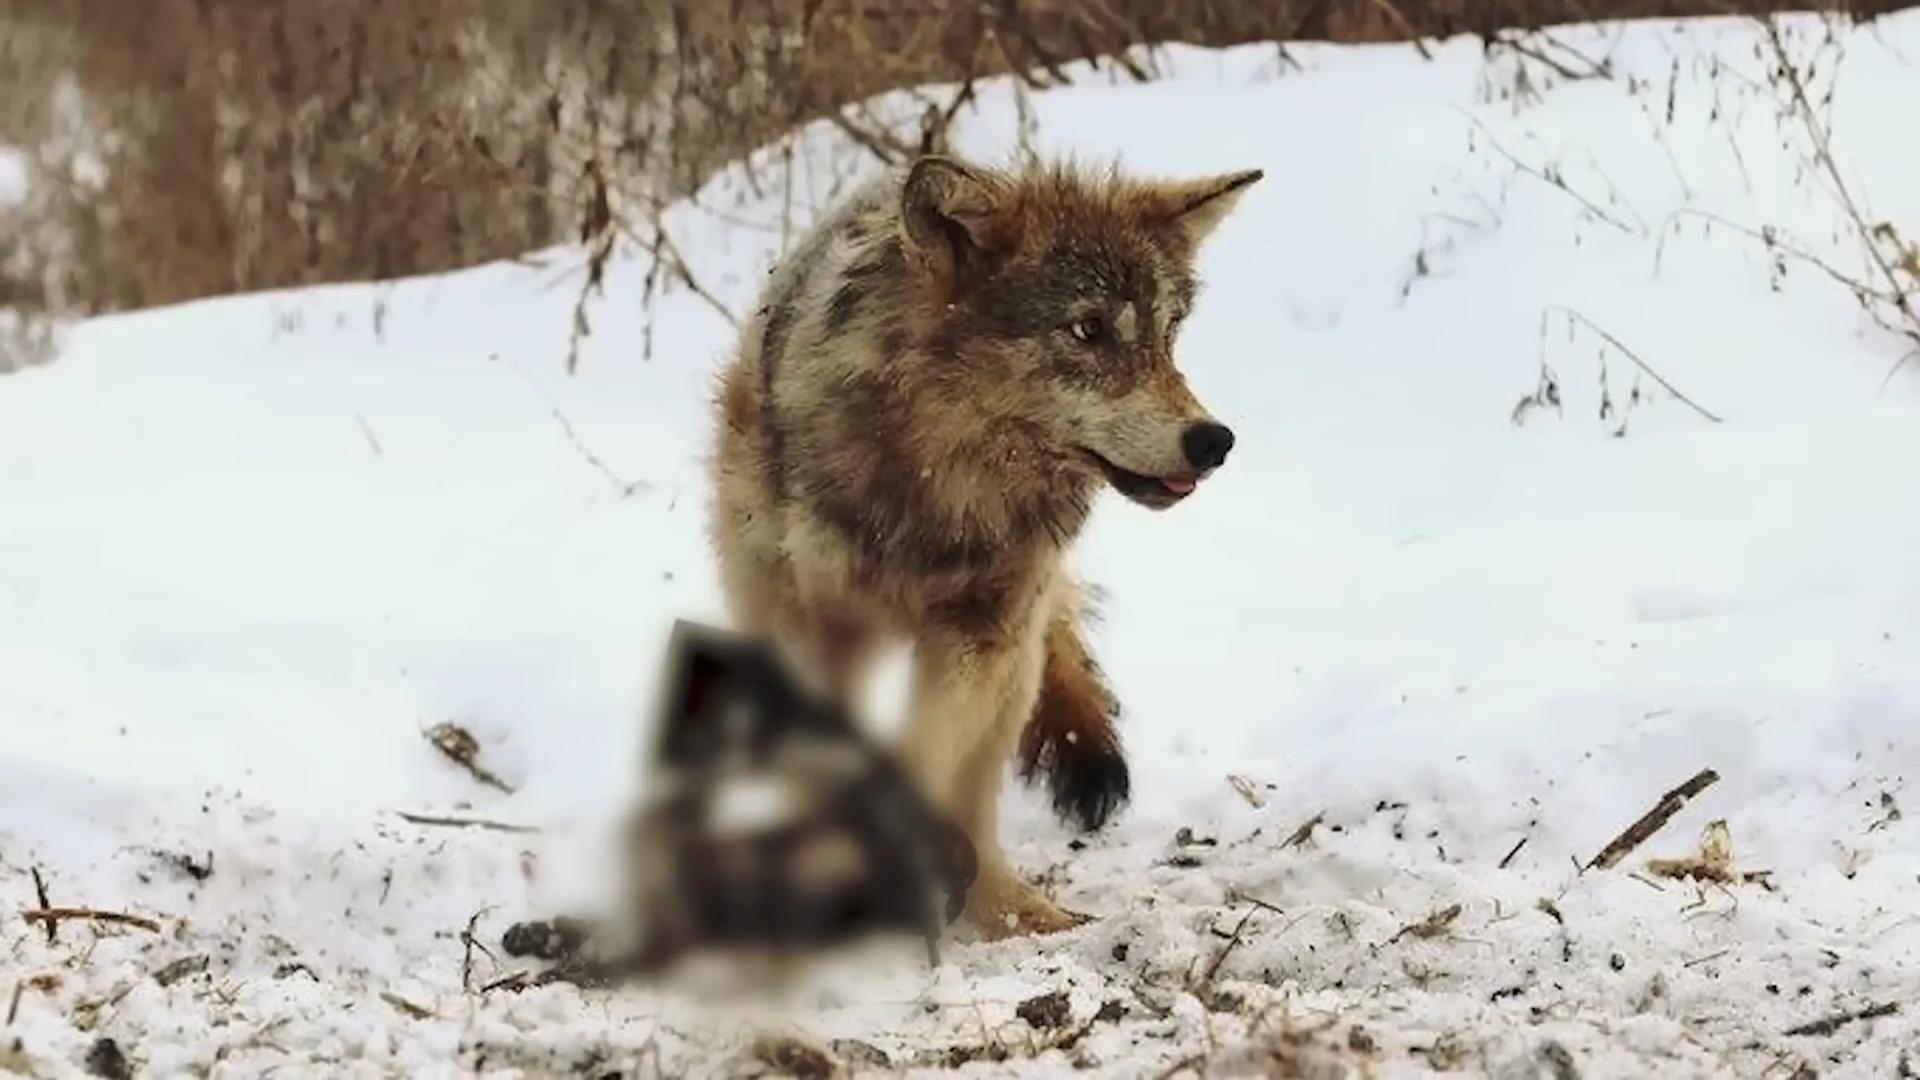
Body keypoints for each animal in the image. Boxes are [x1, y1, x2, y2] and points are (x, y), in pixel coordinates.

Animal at [706, 151, 1261, 937]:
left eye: (1168, 334)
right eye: (1087, 330)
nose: (1214, 441)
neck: (940, 491)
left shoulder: (982, 631)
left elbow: (921, 754)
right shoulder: (819, 629)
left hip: (1017, 664)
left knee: (975, 799)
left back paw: (1013, 908)